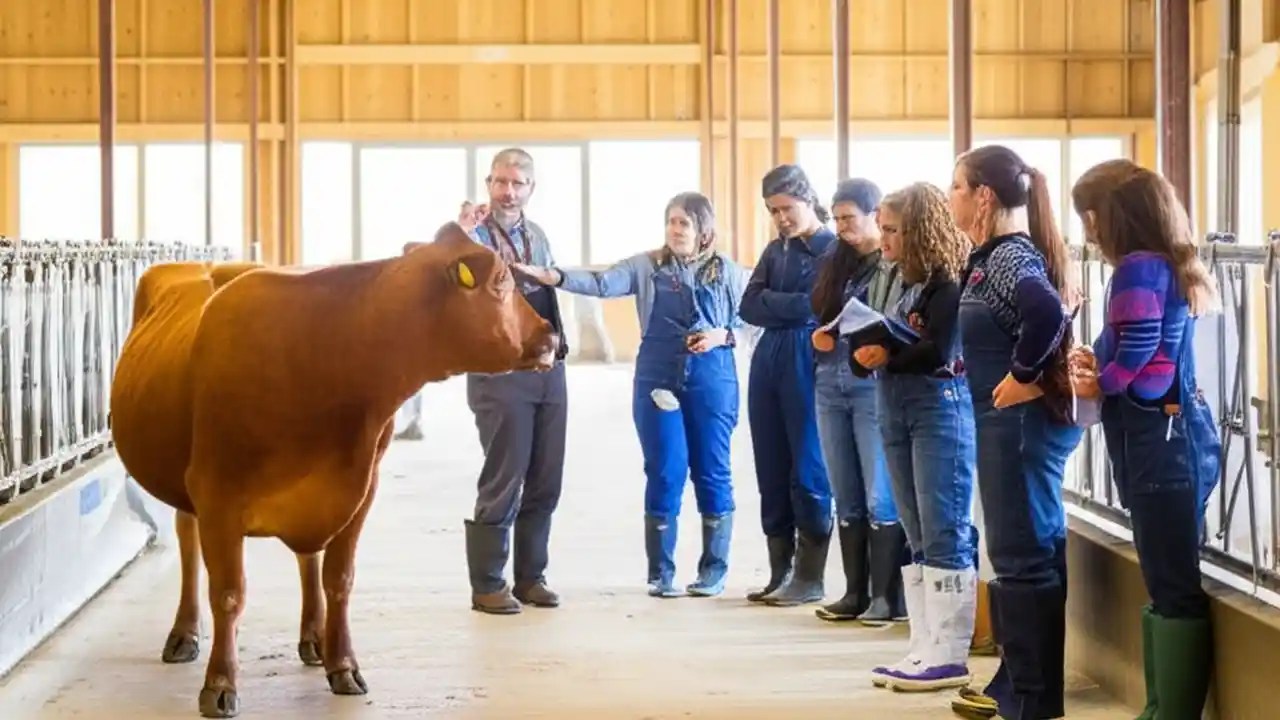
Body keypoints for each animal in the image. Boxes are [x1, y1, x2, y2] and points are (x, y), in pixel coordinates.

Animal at [108, 224, 558, 718]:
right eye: (501, 280)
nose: (550, 335)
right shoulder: (216, 492)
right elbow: (228, 593)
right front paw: (220, 684)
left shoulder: (360, 489)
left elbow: (339, 580)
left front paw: (342, 664)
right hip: (186, 487)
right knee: (189, 547)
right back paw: (185, 632)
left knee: (308, 560)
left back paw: (314, 637)